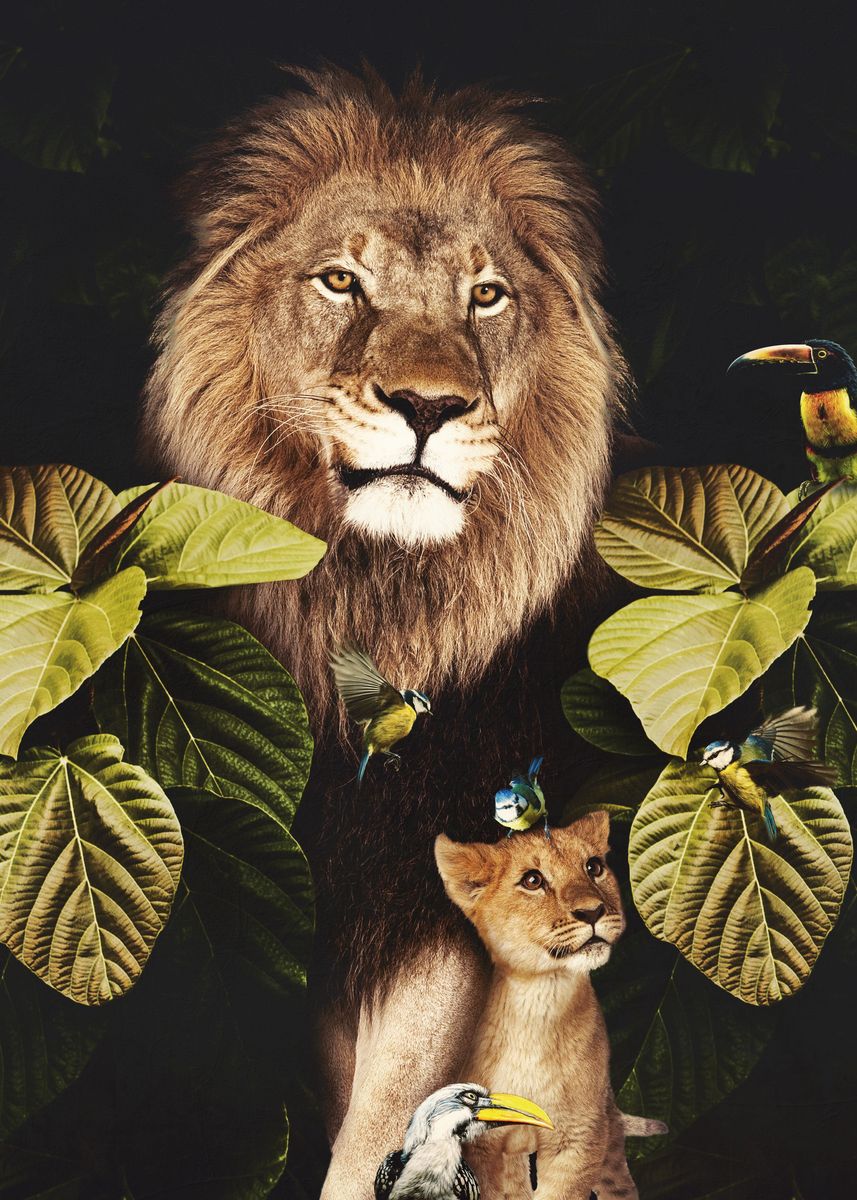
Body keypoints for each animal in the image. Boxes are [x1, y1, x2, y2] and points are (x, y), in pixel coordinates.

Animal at [141, 67, 632, 1199]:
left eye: (484, 296)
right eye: (339, 282)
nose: (428, 405)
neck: (376, 594)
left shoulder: (431, 885)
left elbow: (390, 1101)